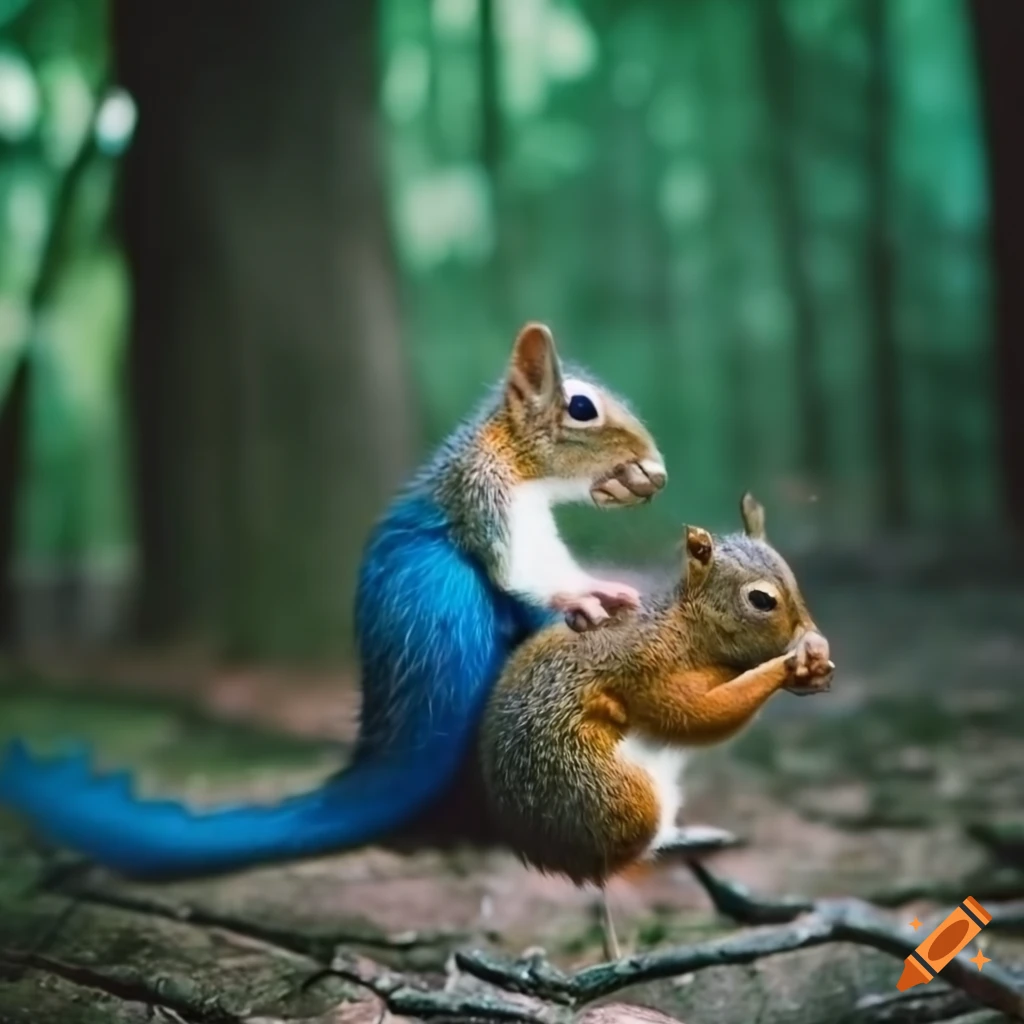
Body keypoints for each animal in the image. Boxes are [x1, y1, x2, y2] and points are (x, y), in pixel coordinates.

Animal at [0, 322, 668, 877]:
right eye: (581, 407)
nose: (655, 466)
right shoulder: (484, 494)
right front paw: (588, 591)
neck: (517, 461)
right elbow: (521, 568)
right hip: (449, 607)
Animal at [479, 494, 833, 890]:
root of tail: (554, 859)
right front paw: (789, 664)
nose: (812, 636)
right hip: (616, 794)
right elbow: (698, 714)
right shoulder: (647, 671)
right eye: (761, 600)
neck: (686, 628)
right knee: (629, 855)